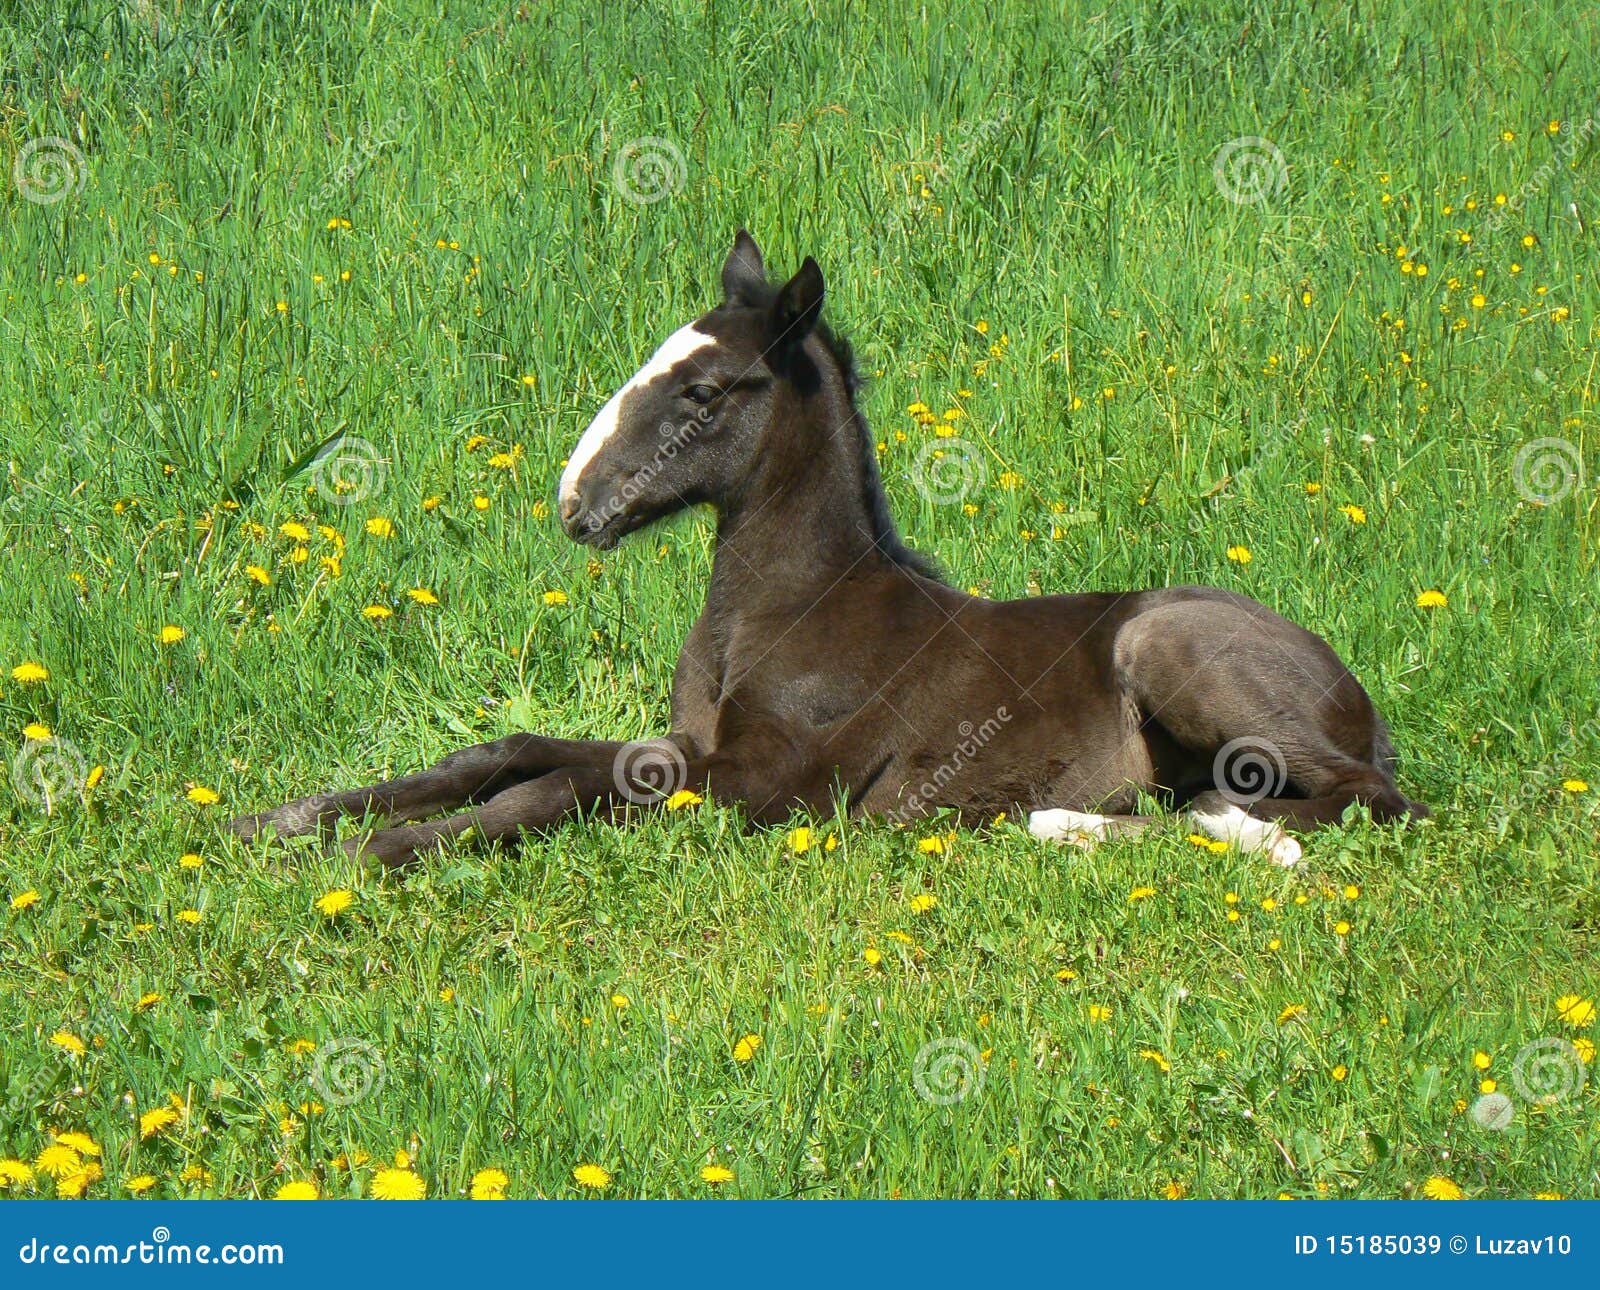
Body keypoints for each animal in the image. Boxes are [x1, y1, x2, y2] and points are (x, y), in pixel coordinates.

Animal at [230, 230, 1427, 869]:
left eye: (704, 392)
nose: (575, 502)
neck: (786, 612)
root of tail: (1354, 692)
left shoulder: (768, 782)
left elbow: (553, 791)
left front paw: (365, 860)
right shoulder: (691, 743)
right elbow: (505, 751)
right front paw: (277, 821)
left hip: (1173, 656)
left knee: (1355, 800)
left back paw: (1129, 825)